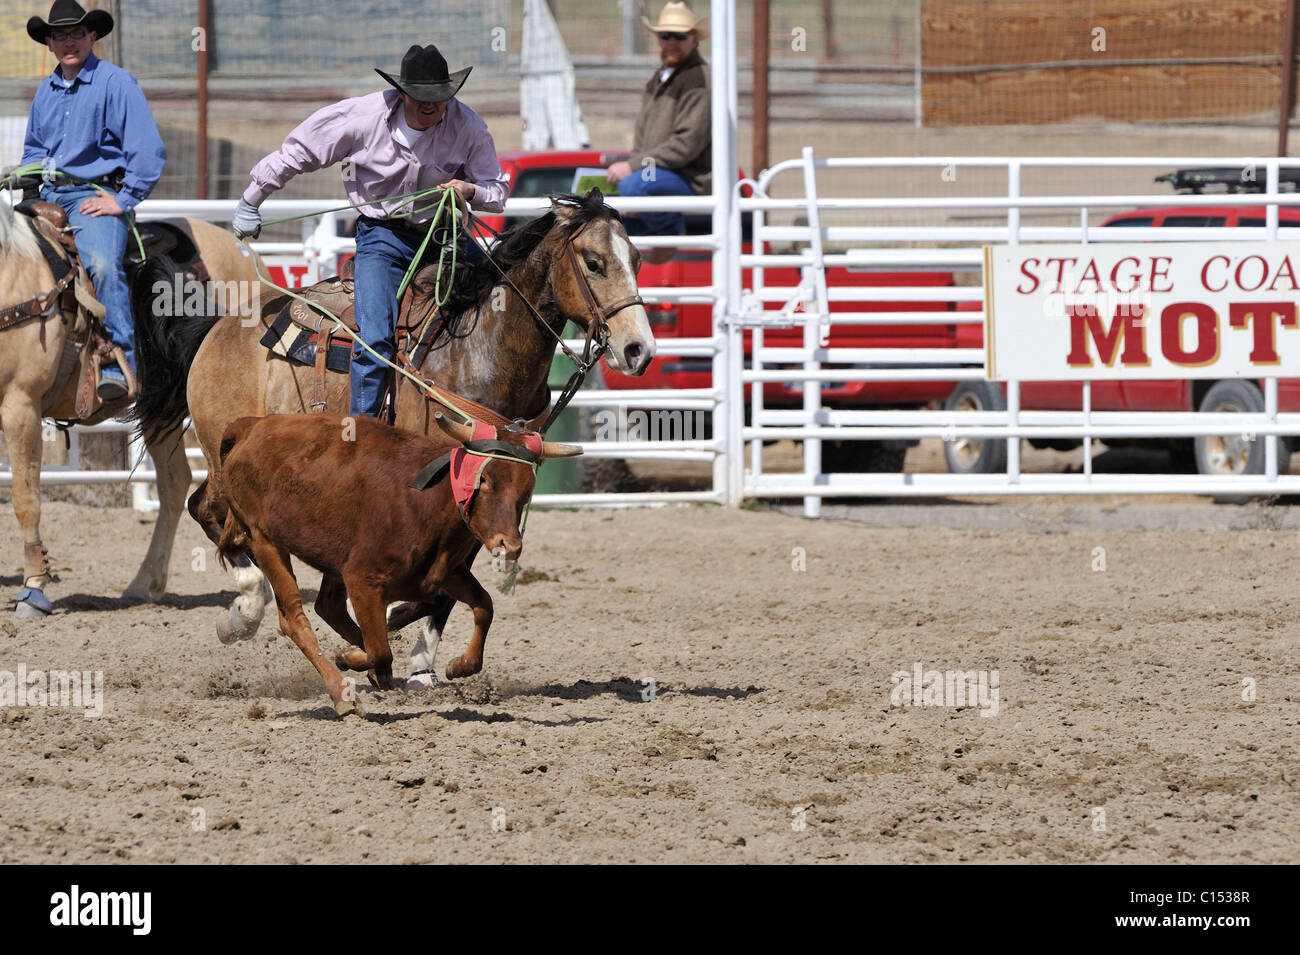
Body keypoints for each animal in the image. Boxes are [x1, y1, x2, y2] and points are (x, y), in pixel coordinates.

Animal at [0, 200, 261, 617]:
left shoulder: (20, 404)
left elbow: (27, 501)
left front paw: (34, 590)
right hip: (163, 405)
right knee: (174, 482)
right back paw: (145, 583)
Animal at [131, 190, 654, 684]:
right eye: (593, 261)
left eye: (637, 259)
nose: (639, 349)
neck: (480, 351)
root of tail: (217, 326)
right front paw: (397, 632)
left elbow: (445, 586)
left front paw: (420, 658)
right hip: (224, 456)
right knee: (207, 510)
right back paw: (242, 614)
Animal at [215, 411, 580, 717]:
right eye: (486, 479)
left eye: (527, 489)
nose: (510, 545)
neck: (425, 499)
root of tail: (252, 426)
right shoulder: (361, 579)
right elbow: (380, 652)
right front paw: (356, 659)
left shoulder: (443, 571)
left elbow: (483, 605)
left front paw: (461, 664)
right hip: (265, 540)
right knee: (295, 618)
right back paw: (342, 694)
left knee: (329, 606)